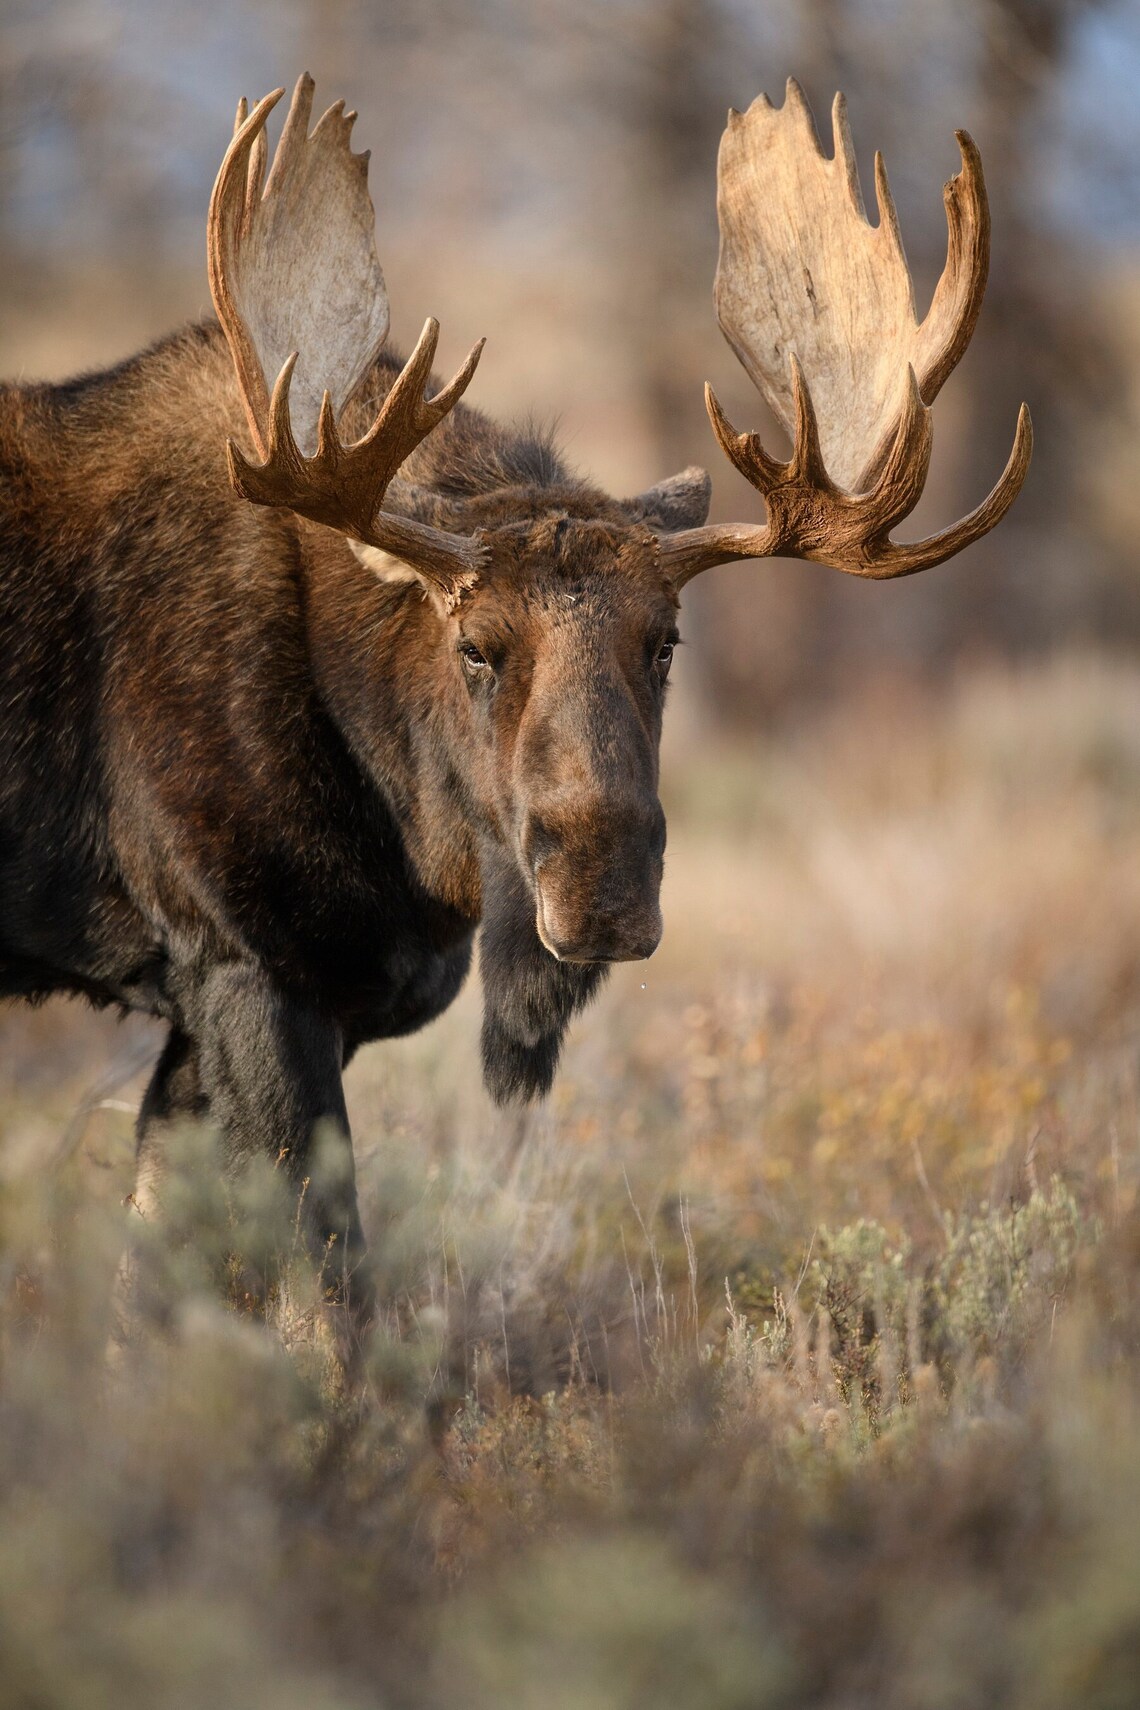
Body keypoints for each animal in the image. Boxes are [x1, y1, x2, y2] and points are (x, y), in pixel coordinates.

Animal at [0, 76, 1030, 1319]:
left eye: (666, 639)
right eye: (477, 648)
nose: (605, 885)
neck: (407, 831)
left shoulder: (241, 1009)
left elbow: (154, 1293)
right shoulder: (245, 968)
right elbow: (330, 1289)